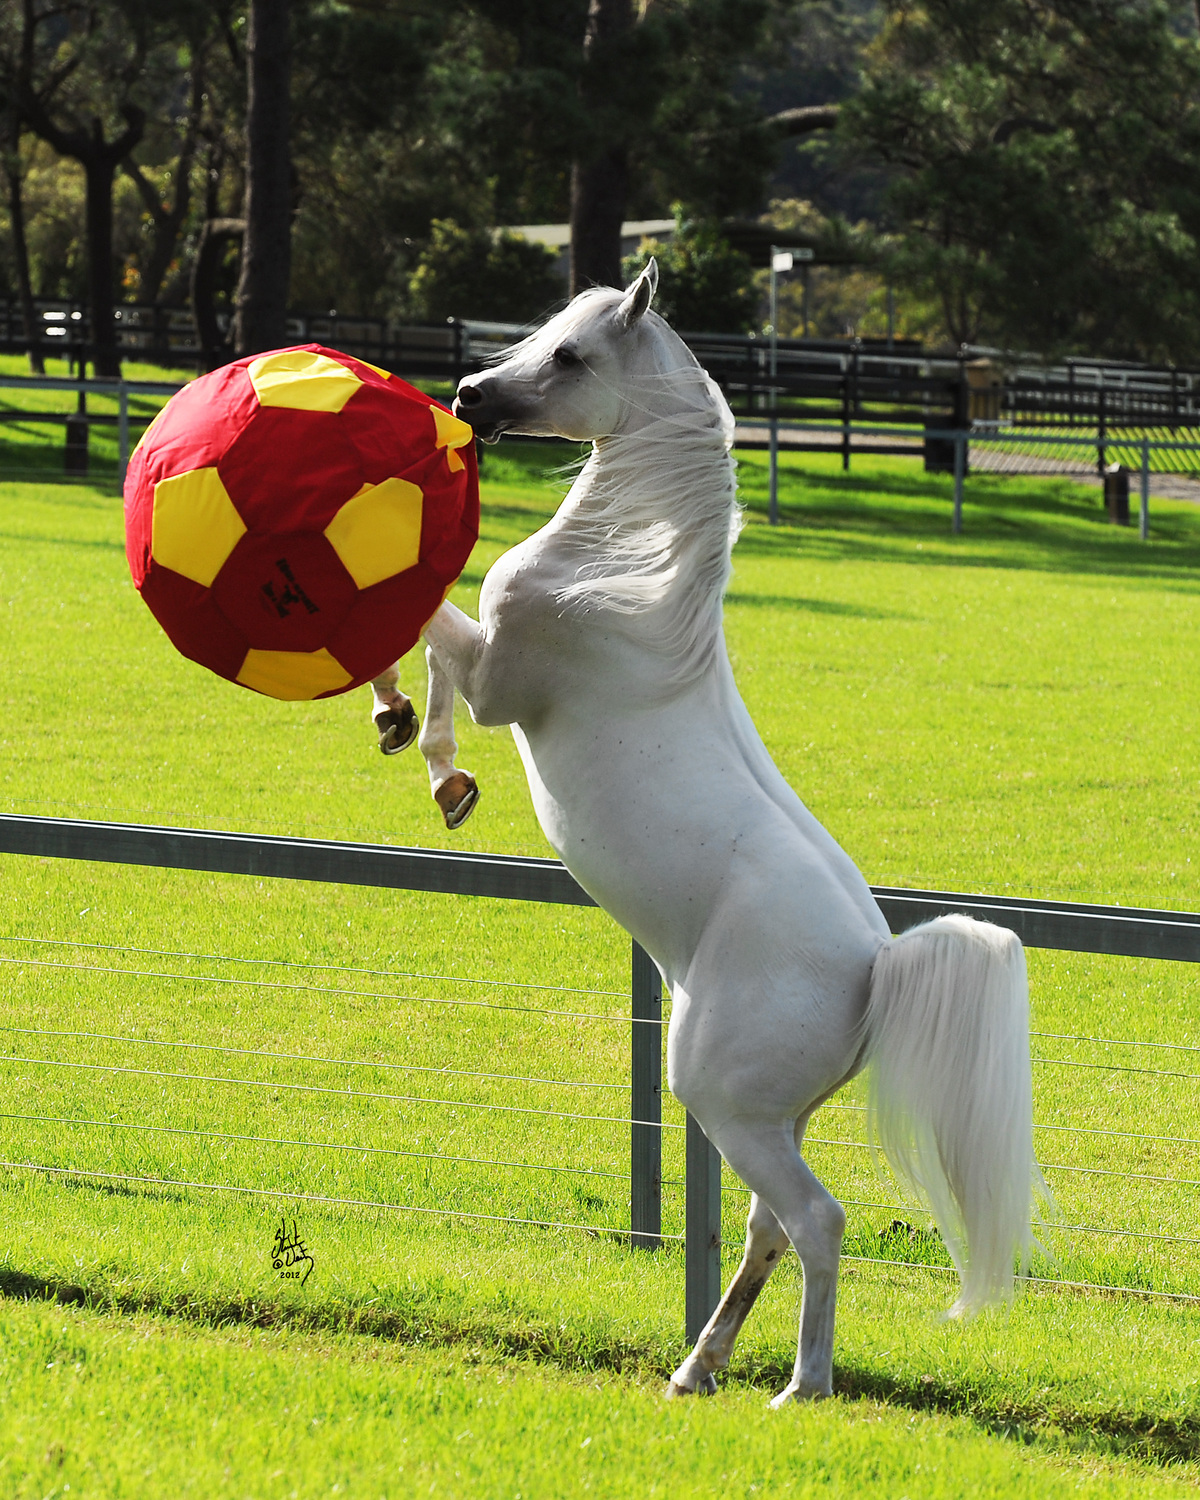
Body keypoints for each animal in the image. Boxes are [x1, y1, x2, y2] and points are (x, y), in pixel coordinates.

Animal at [381, 261, 1046, 1403]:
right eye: (540, 332)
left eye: (570, 355)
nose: (470, 395)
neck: (617, 587)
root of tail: (876, 967)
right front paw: (416, 751)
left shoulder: (500, 680)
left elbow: (430, 633)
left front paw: (440, 772)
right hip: (765, 1121)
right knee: (766, 1231)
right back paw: (697, 1368)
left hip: (728, 1109)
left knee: (817, 1222)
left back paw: (801, 1384)